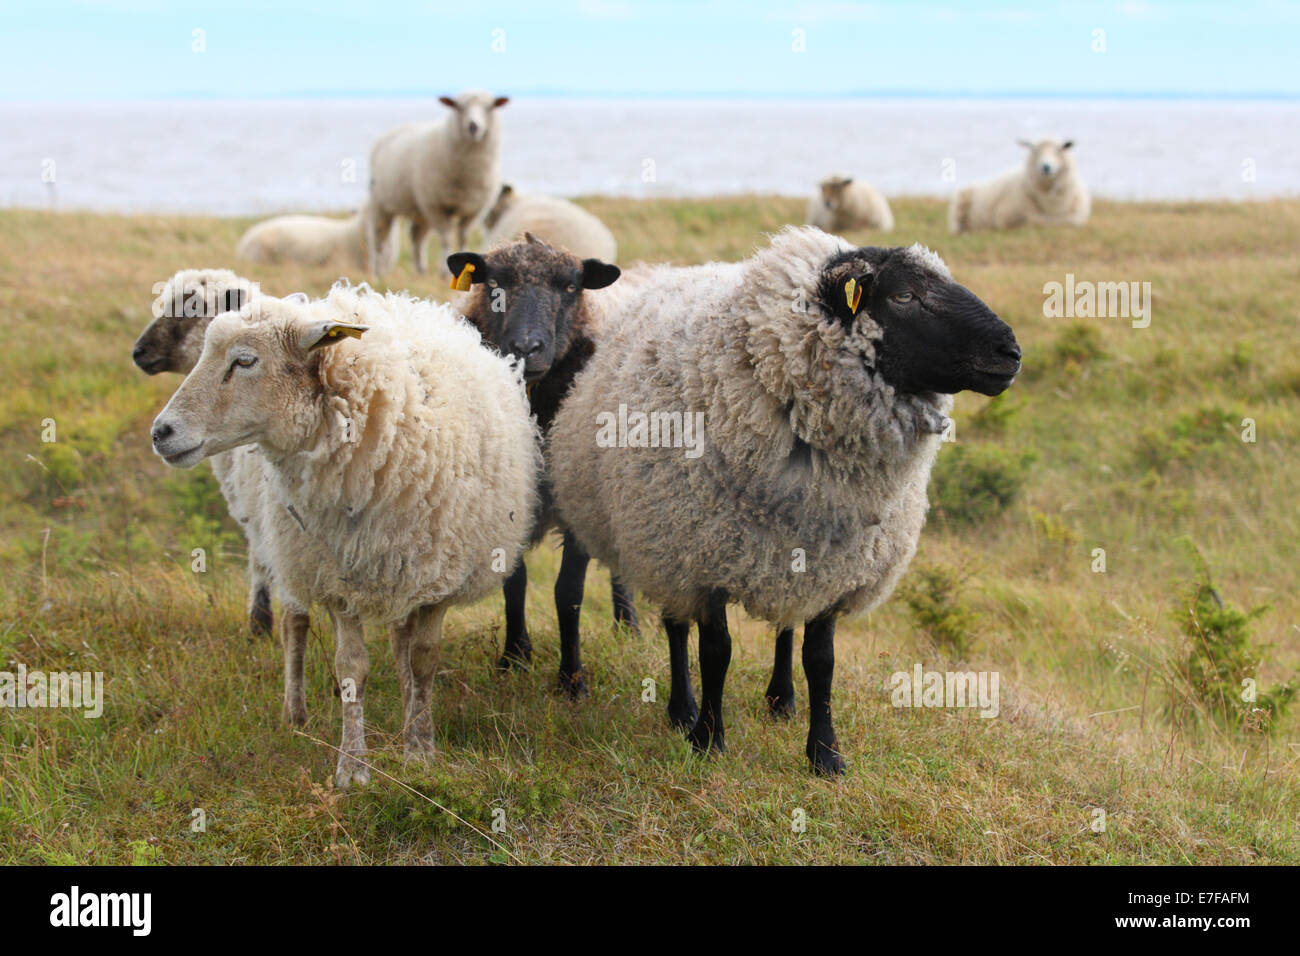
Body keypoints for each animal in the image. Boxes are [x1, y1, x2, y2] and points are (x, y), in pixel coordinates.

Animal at [151, 284, 540, 787]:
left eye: (245, 361)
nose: (161, 432)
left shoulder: (439, 579)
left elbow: (423, 659)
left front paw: (420, 749)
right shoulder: (335, 579)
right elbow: (351, 668)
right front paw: (352, 767)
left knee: (402, 643)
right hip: (296, 551)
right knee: (296, 623)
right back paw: (294, 714)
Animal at [366, 91, 508, 276]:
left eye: (489, 107)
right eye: (458, 107)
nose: (473, 126)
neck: (467, 171)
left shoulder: (473, 209)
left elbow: (463, 237)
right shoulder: (438, 206)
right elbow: (446, 238)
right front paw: (444, 272)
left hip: (421, 211)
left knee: (416, 236)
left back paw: (420, 270)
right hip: (382, 204)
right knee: (380, 237)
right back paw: (379, 272)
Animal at [446, 233, 635, 697]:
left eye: (569, 286)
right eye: (494, 283)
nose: (526, 348)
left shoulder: (576, 500)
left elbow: (569, 592)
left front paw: (572, 680)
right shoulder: (509, 496)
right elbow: (514, 582)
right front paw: (514, 657)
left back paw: (629, 626)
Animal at [548, 226, 1021, 773]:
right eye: (904, 296)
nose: (1012, 353)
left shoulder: (834, 567)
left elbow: (821, 661)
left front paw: (825, 754)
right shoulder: (703, 558)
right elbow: (716, 651)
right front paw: (709, 738)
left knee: (781, 627)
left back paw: (780, 699)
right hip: (653, 533)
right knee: (667, 623)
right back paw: (675, 707)